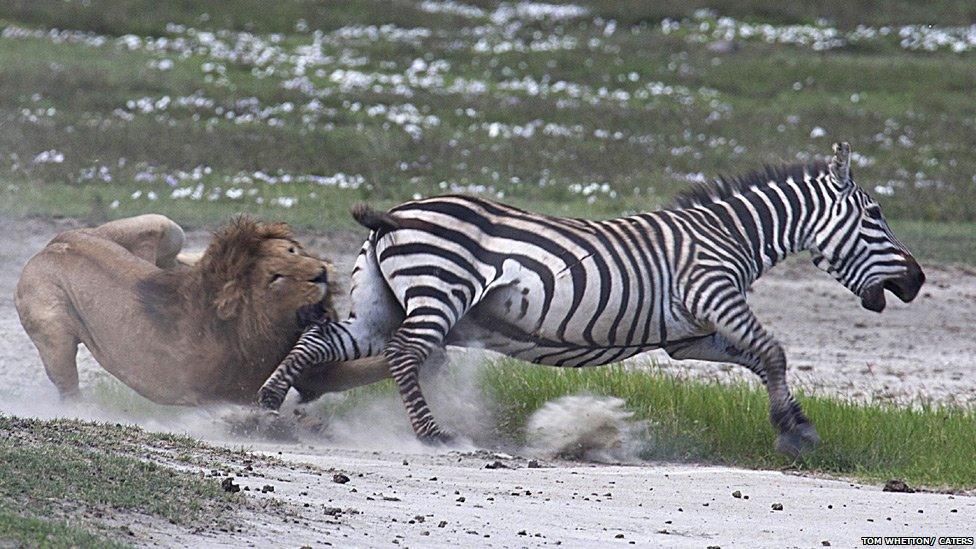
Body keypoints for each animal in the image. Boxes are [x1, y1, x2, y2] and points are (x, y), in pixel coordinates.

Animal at [15, 214, 390, 405]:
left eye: (293, 251)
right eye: (276, 277)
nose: (321, 273)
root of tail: (54, 243)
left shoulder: (313, 374)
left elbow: (369, 367)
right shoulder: (209, 395)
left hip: (164, 226)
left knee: (177, 258)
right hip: (52, 328)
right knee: (67, 383)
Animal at [258, 142, 925, 456]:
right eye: (875, 216)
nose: (917, 282)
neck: (729, 235)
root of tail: (396, 213)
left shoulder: (689, 338)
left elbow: (760, 361)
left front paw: (794, 425)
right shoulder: (714, 295)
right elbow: (776, 352)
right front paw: (795, 430)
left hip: (381, 304)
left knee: (325, 338)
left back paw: (267, 406)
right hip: (438, 293)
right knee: (403, 355)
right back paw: (434, 436)